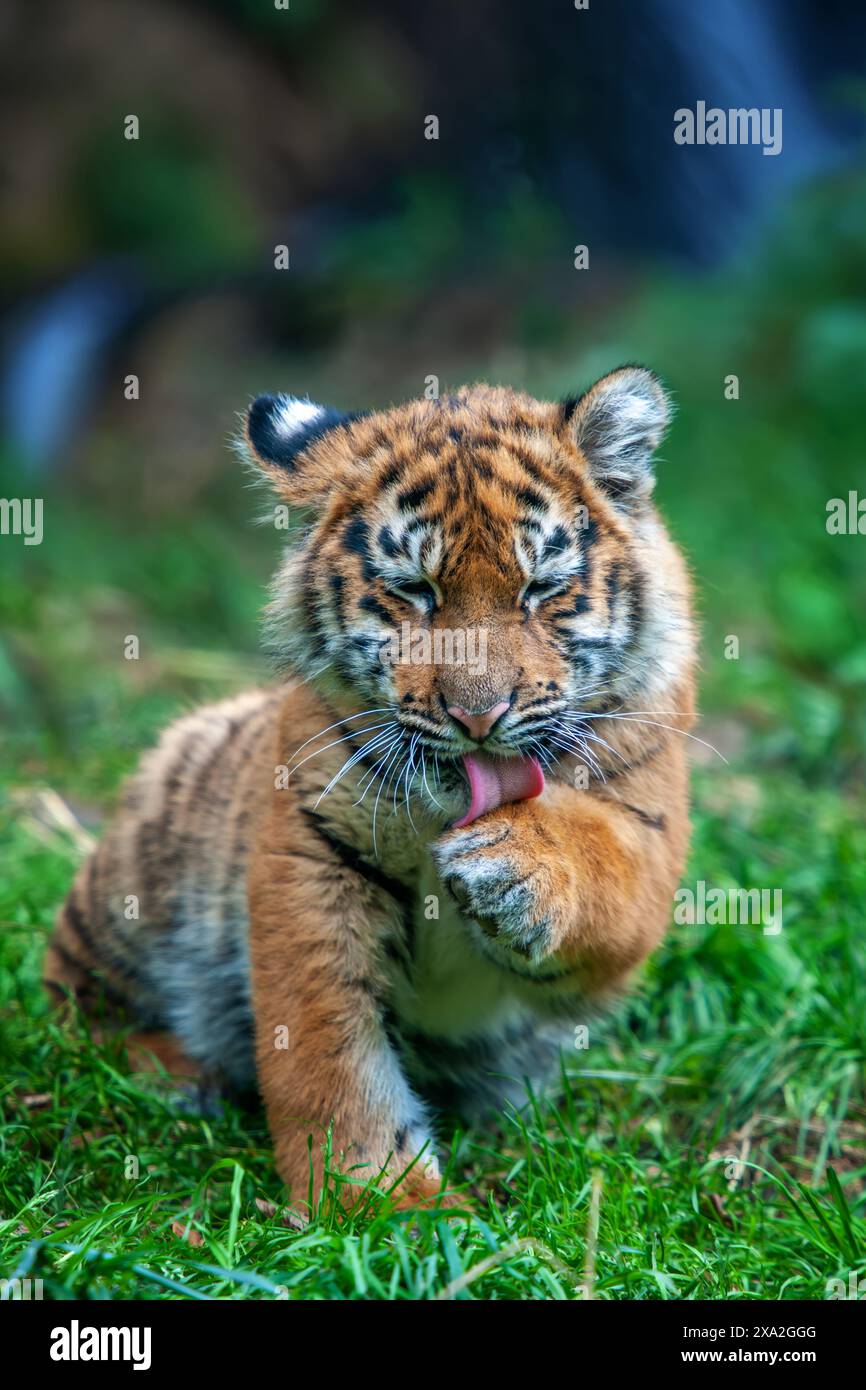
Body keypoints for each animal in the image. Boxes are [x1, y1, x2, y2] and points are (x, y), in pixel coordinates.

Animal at [45, 367, 696, 1212]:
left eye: (541, 588)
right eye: (413, 590)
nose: (478, 714)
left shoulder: (653, 837)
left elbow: (602, 870)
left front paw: (513, 867)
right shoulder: (311, 853)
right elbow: (329, 1051)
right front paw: (379, 1203)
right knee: (73, 1009)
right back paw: (179, 1073)